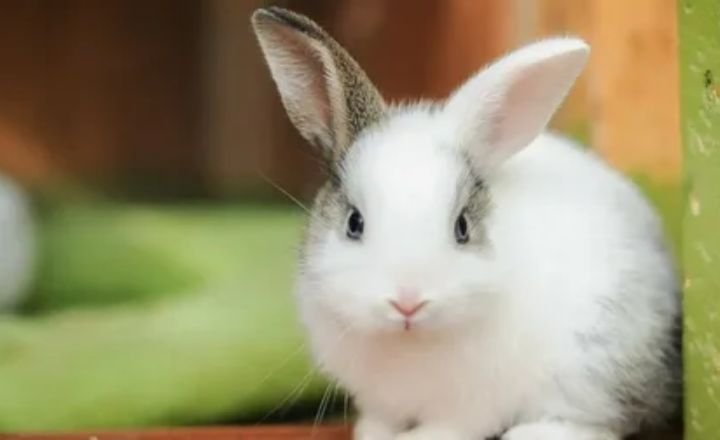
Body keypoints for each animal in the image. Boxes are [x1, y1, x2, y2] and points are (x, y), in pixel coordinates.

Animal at [252, 7, 680, 440]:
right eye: (354, 223)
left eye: (462, 228)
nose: (407, 302)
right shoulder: (380, 402)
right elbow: (380, 422)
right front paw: (373, 434)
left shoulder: (472, 406)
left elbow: (449, 427)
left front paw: (417, 438)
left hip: (593, 365)